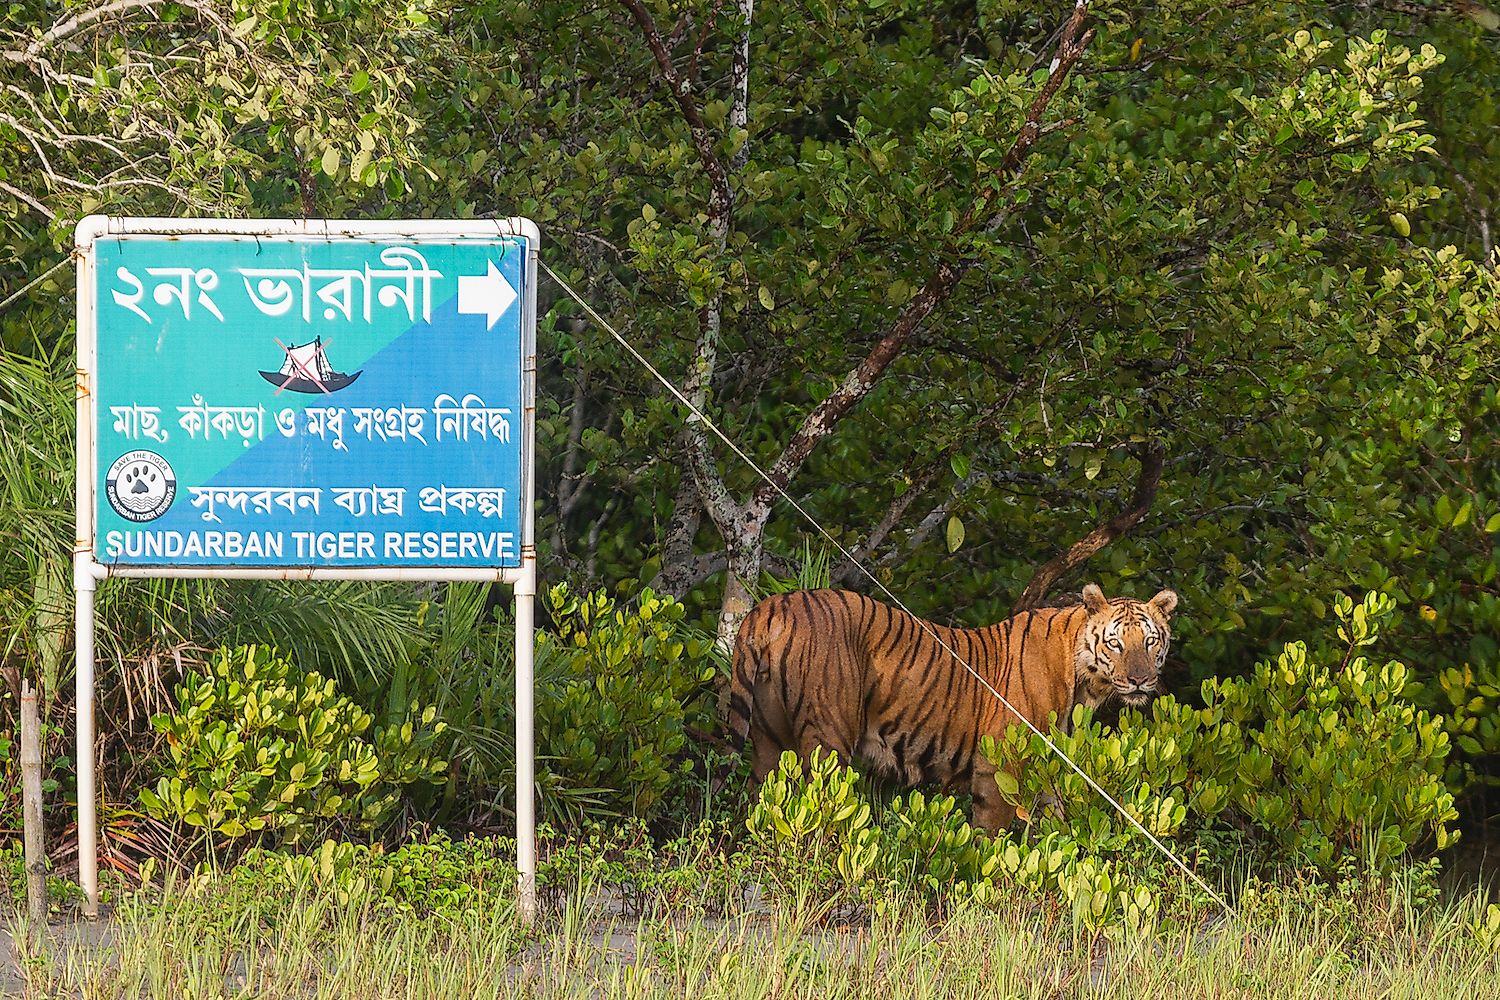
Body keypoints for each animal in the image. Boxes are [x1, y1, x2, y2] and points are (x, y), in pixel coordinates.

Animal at [725, 583, 1178, 829]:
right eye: (1115, 643)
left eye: (1150, 641)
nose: (1140, 679)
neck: (1082, 682)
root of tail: (773, 605)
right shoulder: (1000, 763)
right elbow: (992, 832)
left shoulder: (1045, 763)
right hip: (828, 739)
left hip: (769, 741)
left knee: (761, 801)